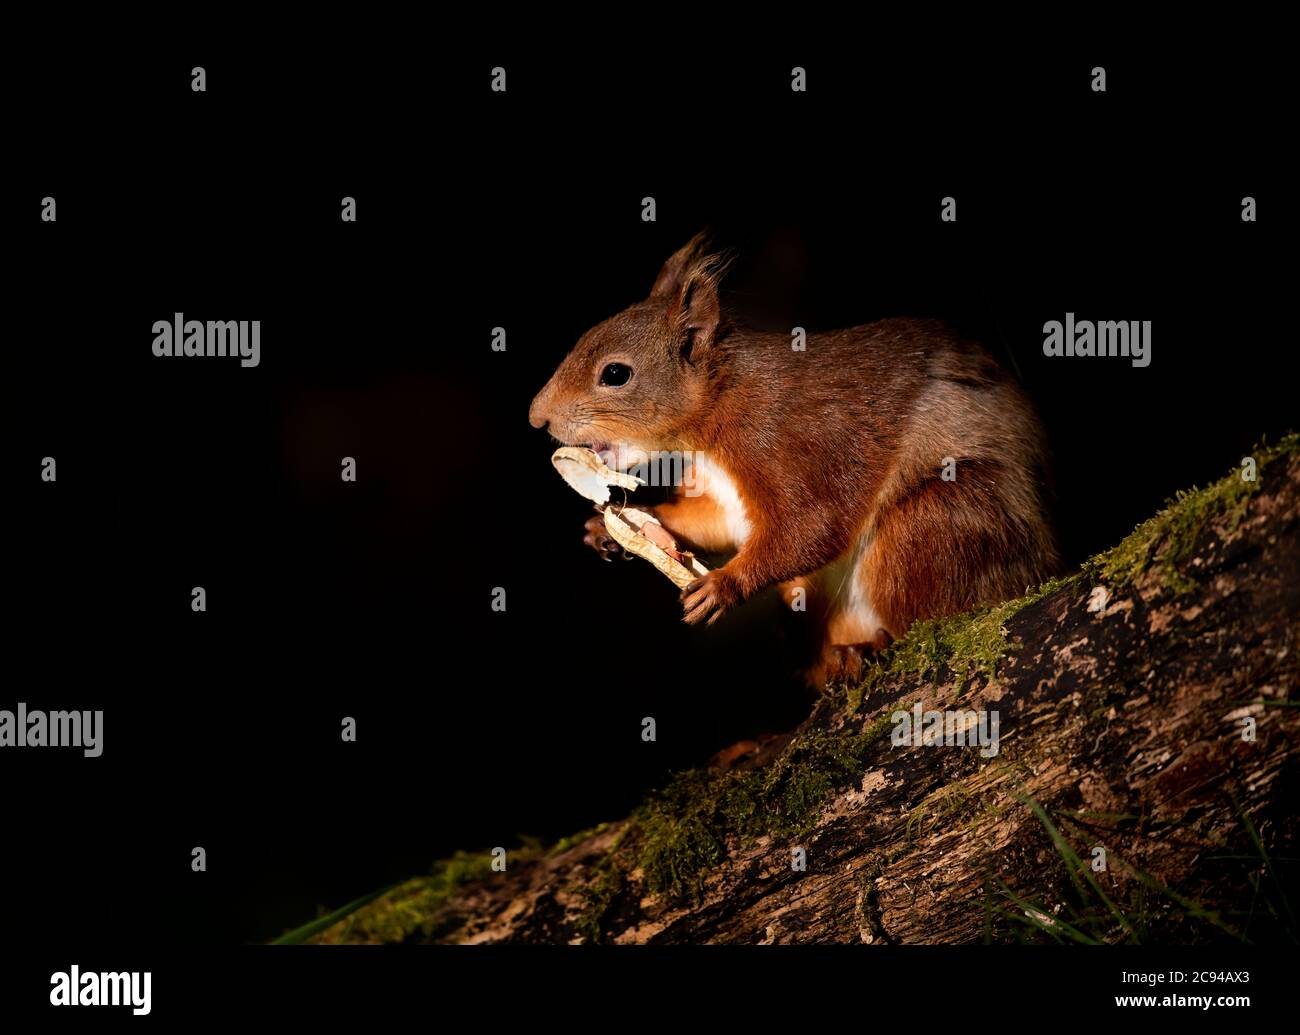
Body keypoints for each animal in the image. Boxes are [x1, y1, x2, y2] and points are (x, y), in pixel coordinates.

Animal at [529, 232, 1061, 688]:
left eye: (616, 374)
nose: (537, 417)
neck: (718, 410)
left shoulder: (794, 443)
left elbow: (812, 526)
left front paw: (726, 585)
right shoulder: (722, 492)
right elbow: (714, 524)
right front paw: (612, 528)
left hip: (944, 523)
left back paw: (873, 646)